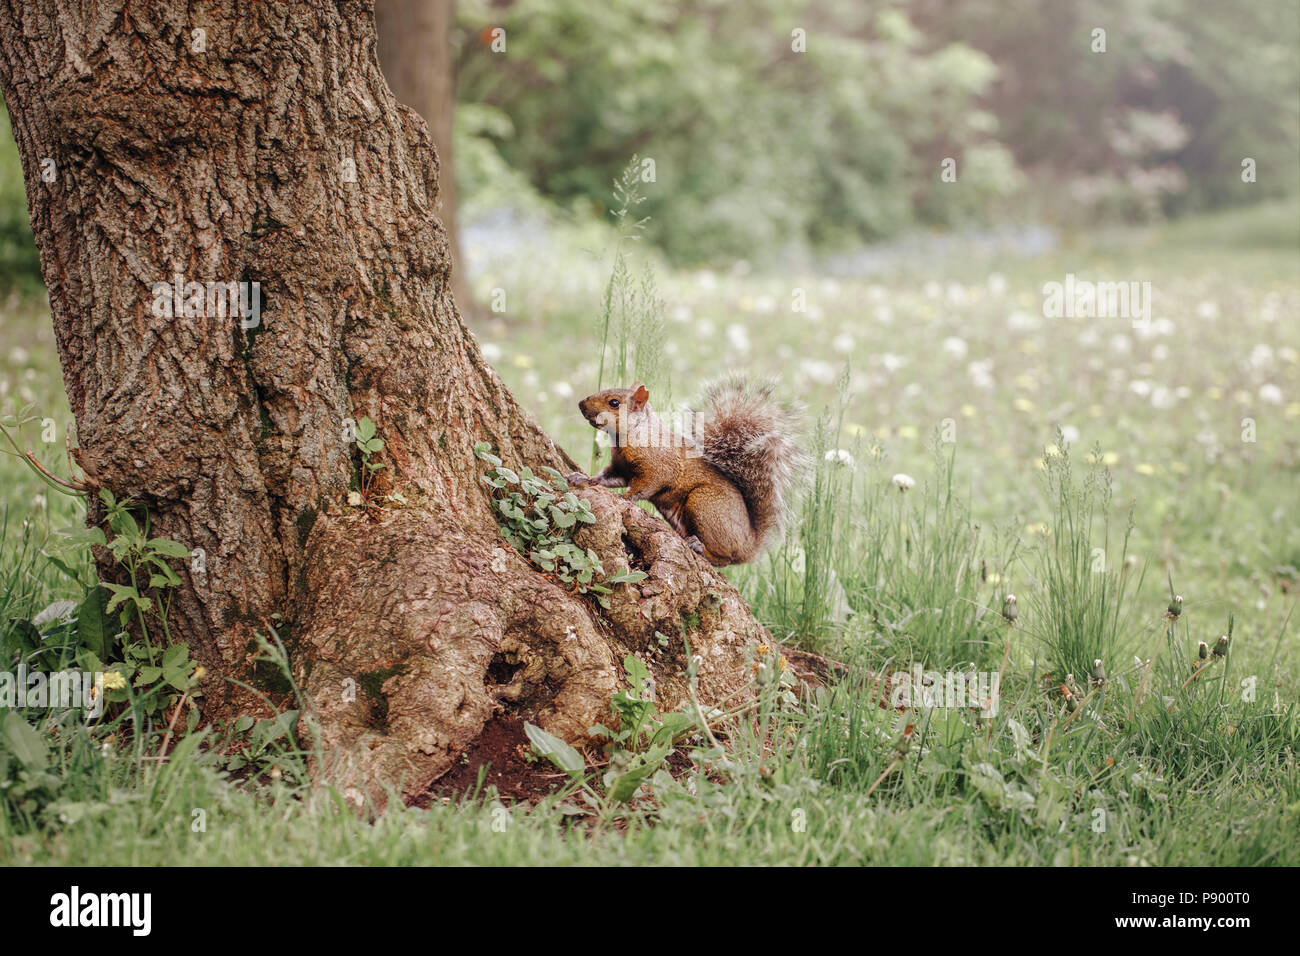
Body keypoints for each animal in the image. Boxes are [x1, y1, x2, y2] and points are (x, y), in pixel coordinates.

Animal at [566, 376, 805, 566]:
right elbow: (606, 478)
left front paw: (626, 497)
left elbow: (646, 485)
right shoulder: (621, 468)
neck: (635, 434)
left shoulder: (660, 466)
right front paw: (583, 478)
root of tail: (750, 545)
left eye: (614, 403)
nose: (580, 404)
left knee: (725, 558)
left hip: (704, 504)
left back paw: (699, 547)